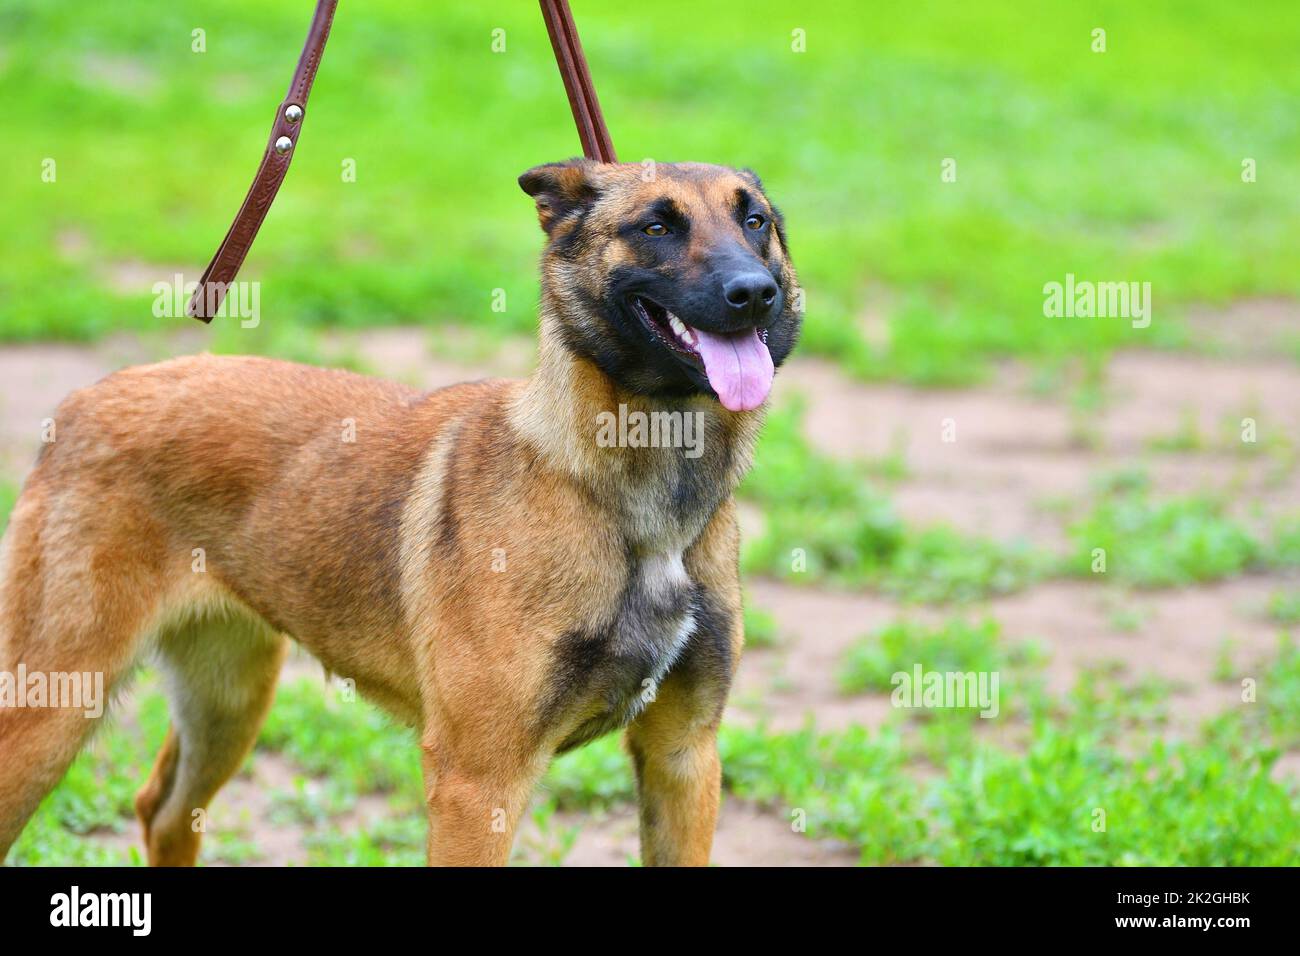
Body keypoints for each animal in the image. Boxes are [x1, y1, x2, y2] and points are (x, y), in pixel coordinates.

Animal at [0, 158, 800, 868]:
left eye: (755, 221)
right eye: (657, 226)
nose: (754, 293)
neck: (632, 490)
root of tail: (93, 394)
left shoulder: (683, 756)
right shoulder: (479, 786)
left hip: (227, 696)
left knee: (164, 811)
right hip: (52, 706)